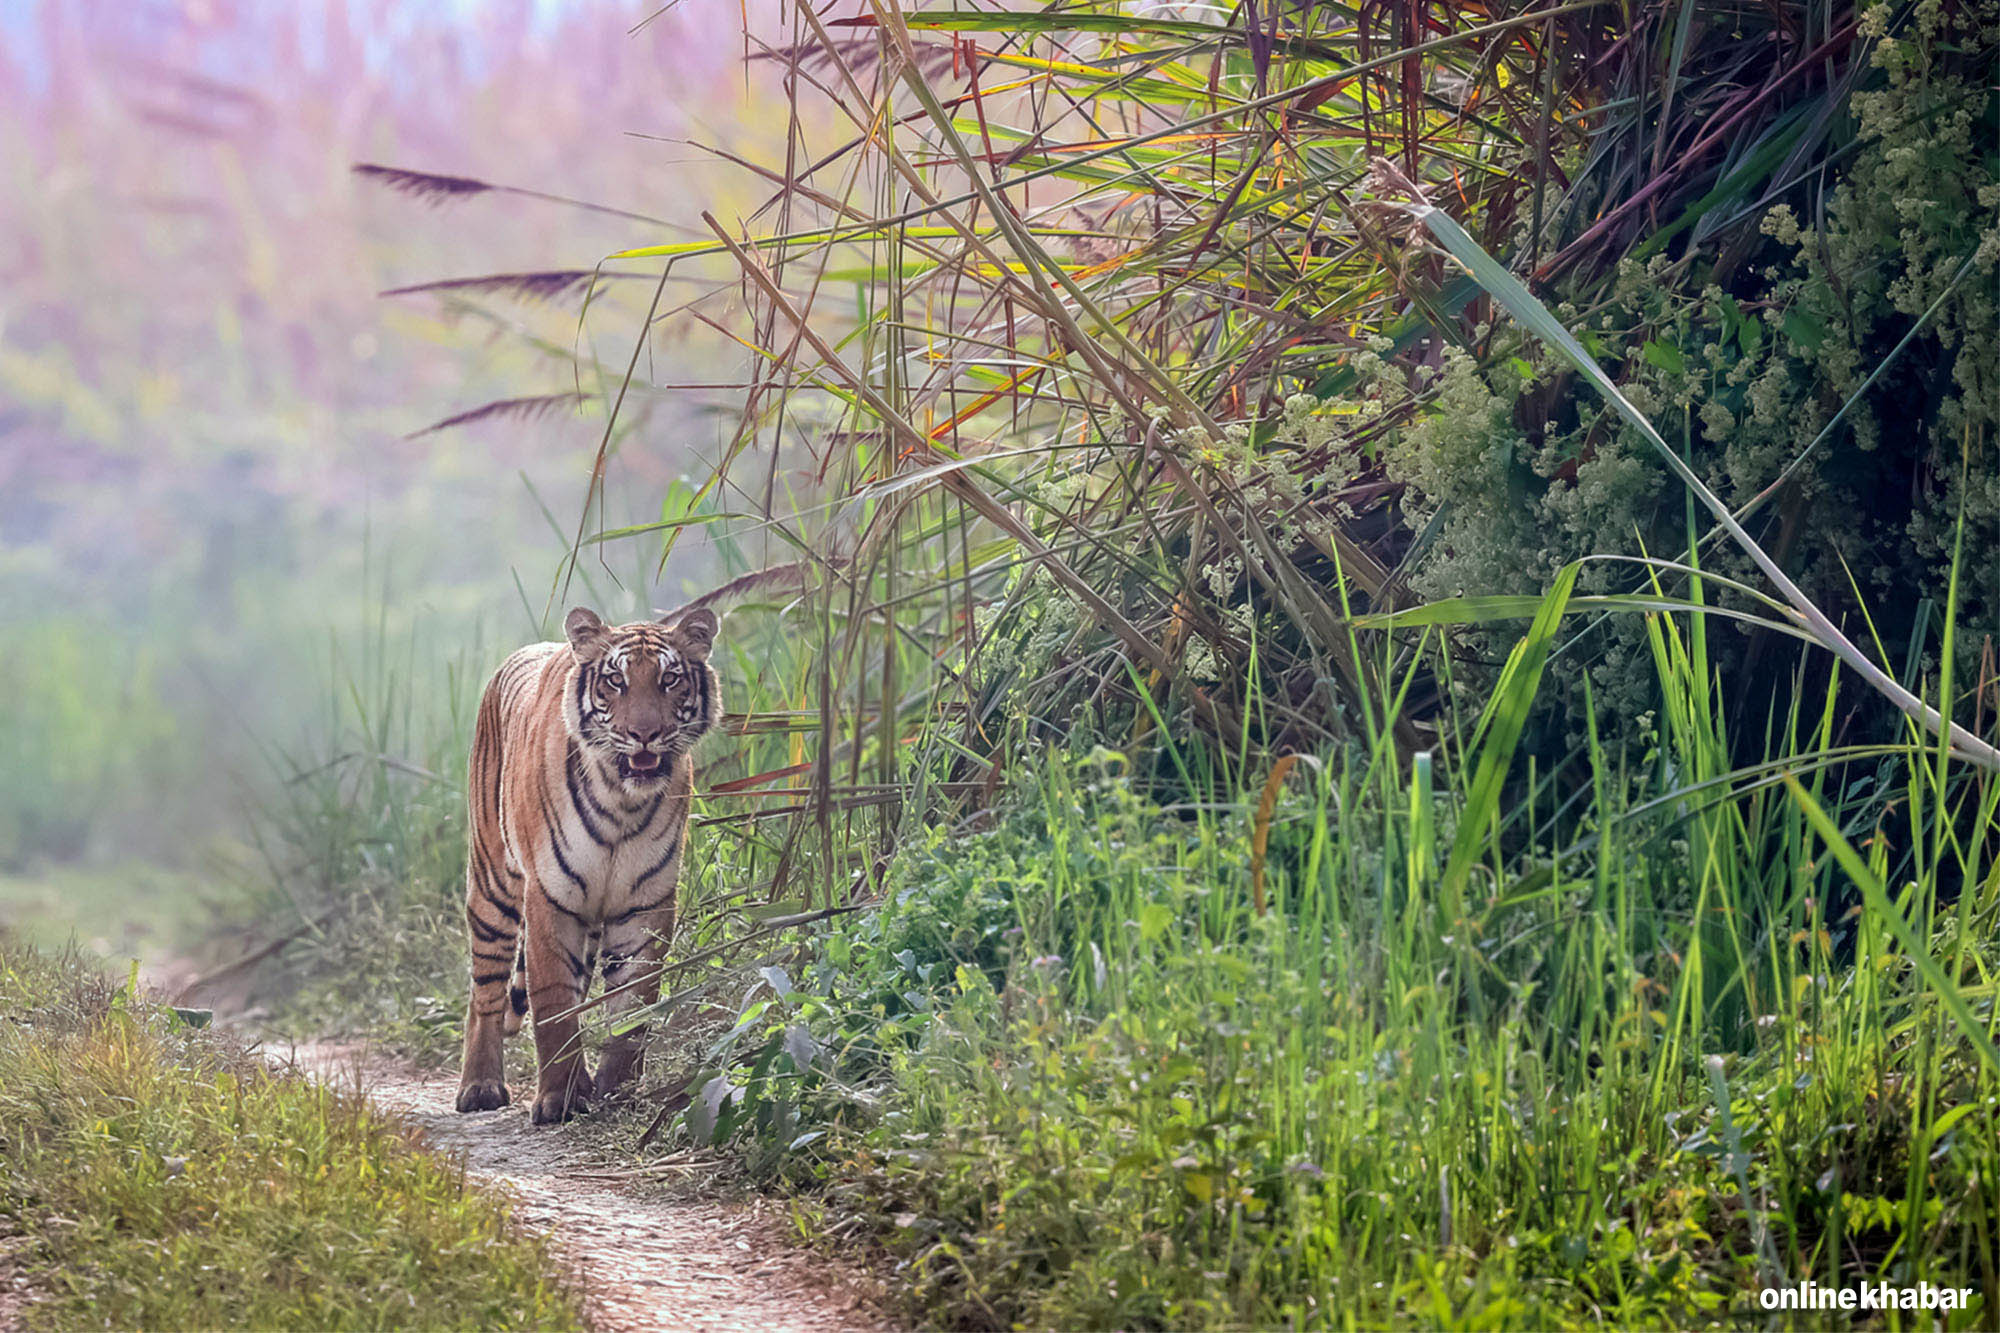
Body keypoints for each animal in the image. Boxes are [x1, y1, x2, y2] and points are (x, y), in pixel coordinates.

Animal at [456, 604, 721, 1124]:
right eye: (616, 681)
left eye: (670, 679)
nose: (644, 735)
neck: (623, 801)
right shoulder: (550, 897)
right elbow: (554, 1007)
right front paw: (558, 1100)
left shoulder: (644, 906)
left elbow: (633, 1010)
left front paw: (617, 1092)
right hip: (493, 885)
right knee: (486, 990)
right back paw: (479, 1087)